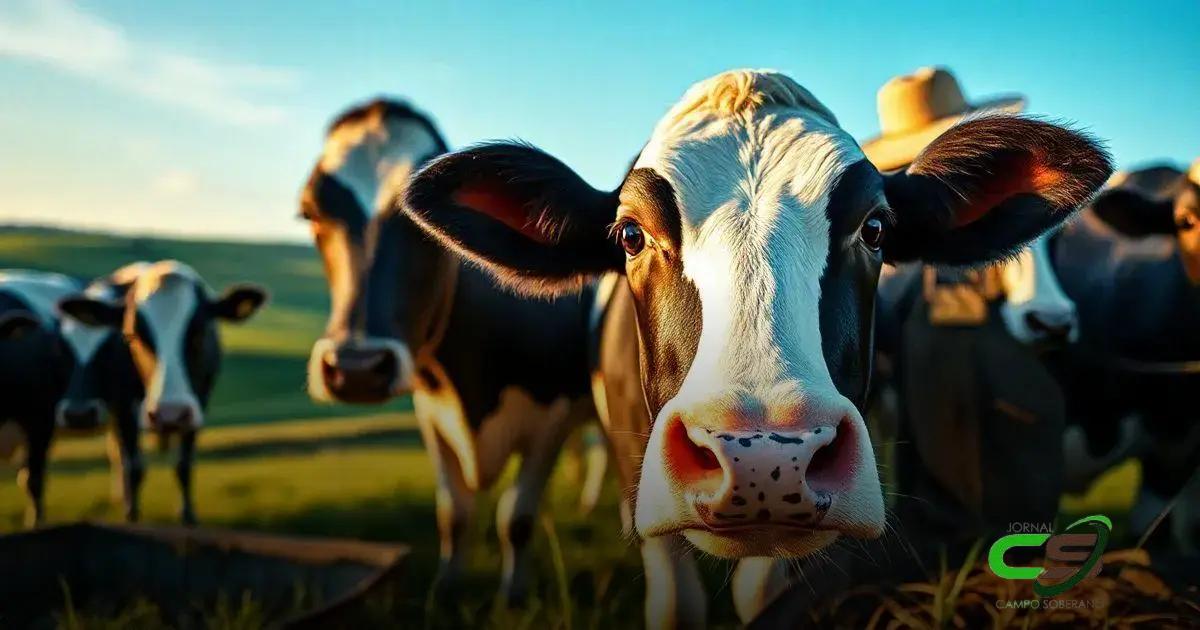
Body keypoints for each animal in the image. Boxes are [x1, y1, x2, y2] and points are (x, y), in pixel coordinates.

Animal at [58, 260, 267, 524]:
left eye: (201, 332)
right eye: (131, 336)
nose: (170, 413)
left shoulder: (199, 402)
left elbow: (184, 464)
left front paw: (187, 515)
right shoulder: (124, 404)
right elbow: (134, 465)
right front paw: (131, 514)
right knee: (118, 453)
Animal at [300, 99, 600, 604]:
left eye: (418, 220)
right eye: (309, 213)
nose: (356, 369)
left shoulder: (552, 418)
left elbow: (516, 517)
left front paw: (513, 597)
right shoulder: (431, 415)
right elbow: (453, 513)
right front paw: (446, 588)